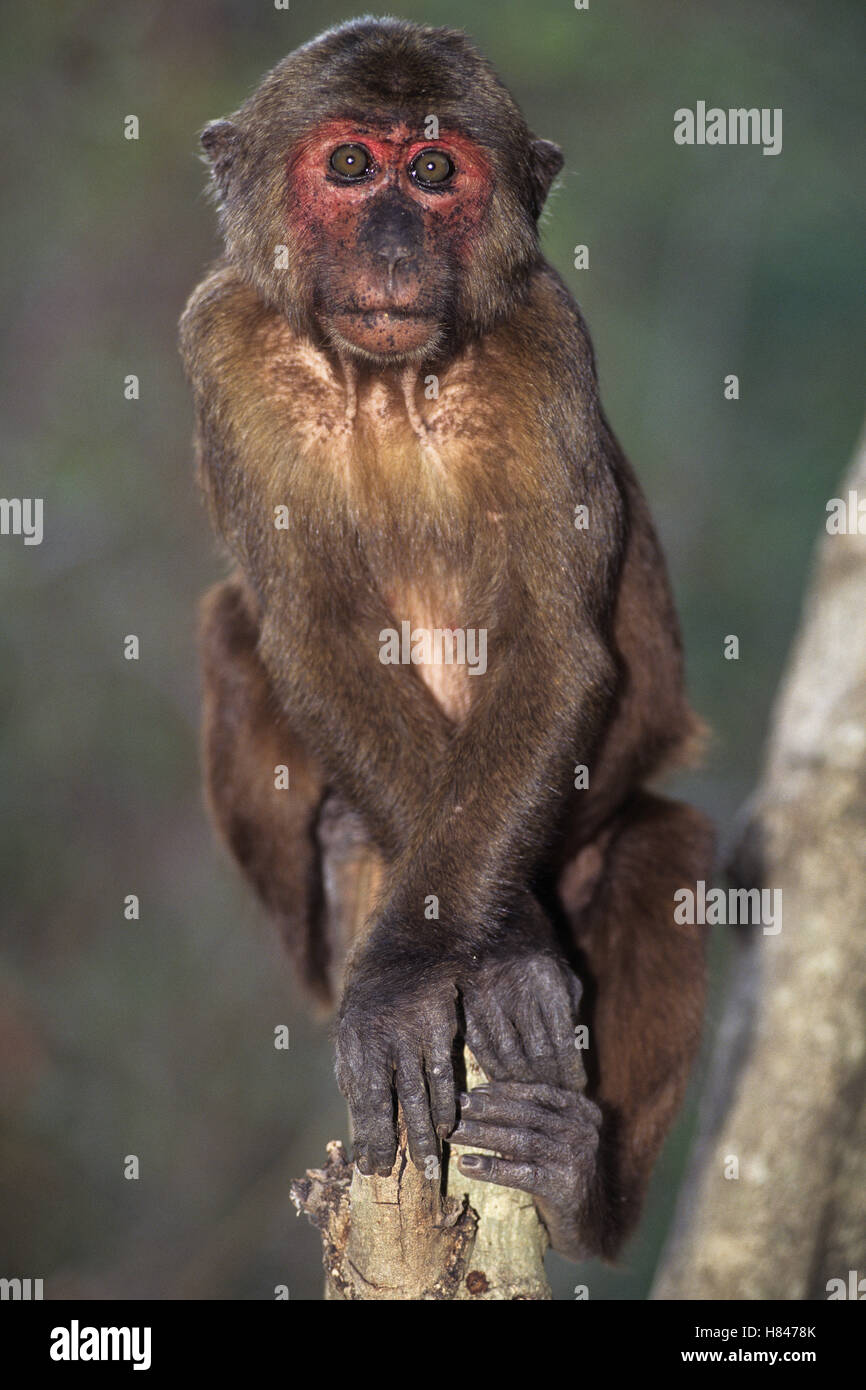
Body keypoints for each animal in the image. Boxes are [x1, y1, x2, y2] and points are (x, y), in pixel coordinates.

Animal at [180, 17, 714, 1262]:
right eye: (349, 166)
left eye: (431, 173)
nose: (391, 238)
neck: (385, 382)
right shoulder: (221, 340)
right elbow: (309, 636)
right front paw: (455, 958)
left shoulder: (542, 340)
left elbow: (557, 651)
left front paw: (464, 957)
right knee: (233, 631)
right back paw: (336, 893)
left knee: (663, 847)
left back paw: (581, 1188)